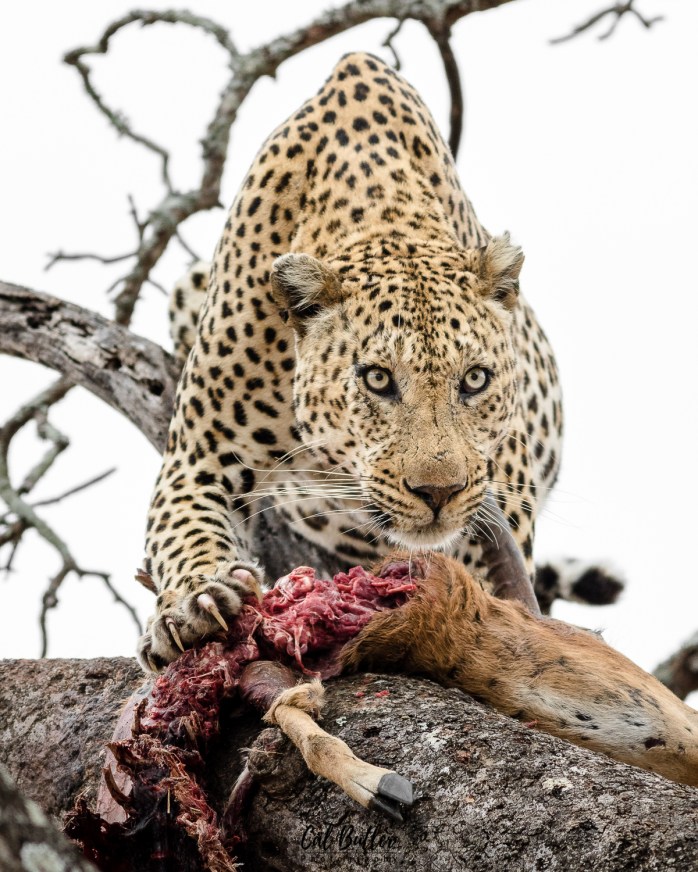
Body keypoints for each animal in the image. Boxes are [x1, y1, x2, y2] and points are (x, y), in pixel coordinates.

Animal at [138, 51, 619, 671]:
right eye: (378, 379)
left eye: (475, 379)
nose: (438, 494)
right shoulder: (202, 453)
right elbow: (183, 531)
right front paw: (197, 604)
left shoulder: (505, 480)